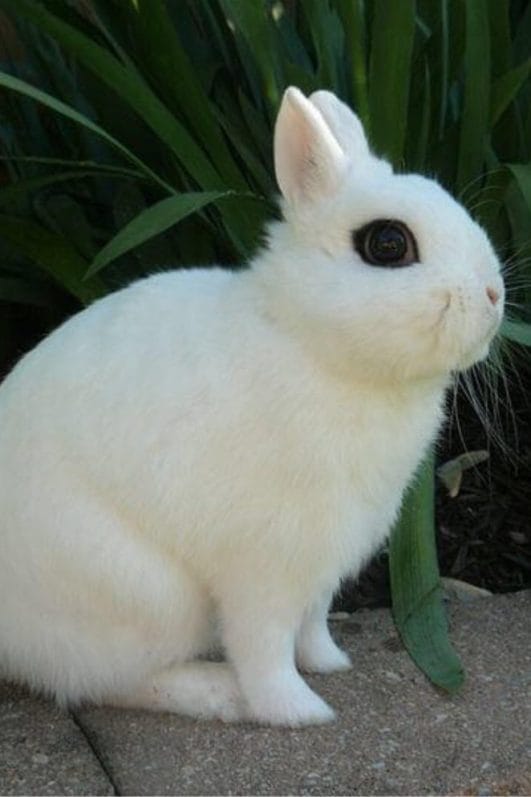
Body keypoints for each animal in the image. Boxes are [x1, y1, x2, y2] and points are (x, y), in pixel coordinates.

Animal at [0, 87, 504, 727]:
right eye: (388, 244)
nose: (494, 295)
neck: (308, 341)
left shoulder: (322, 563)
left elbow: (311, 624)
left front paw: (330, 664)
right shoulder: (261, 566)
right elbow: (263, 646)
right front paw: (299, 711)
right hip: (142, 595)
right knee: (107, 681)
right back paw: (220, 694)